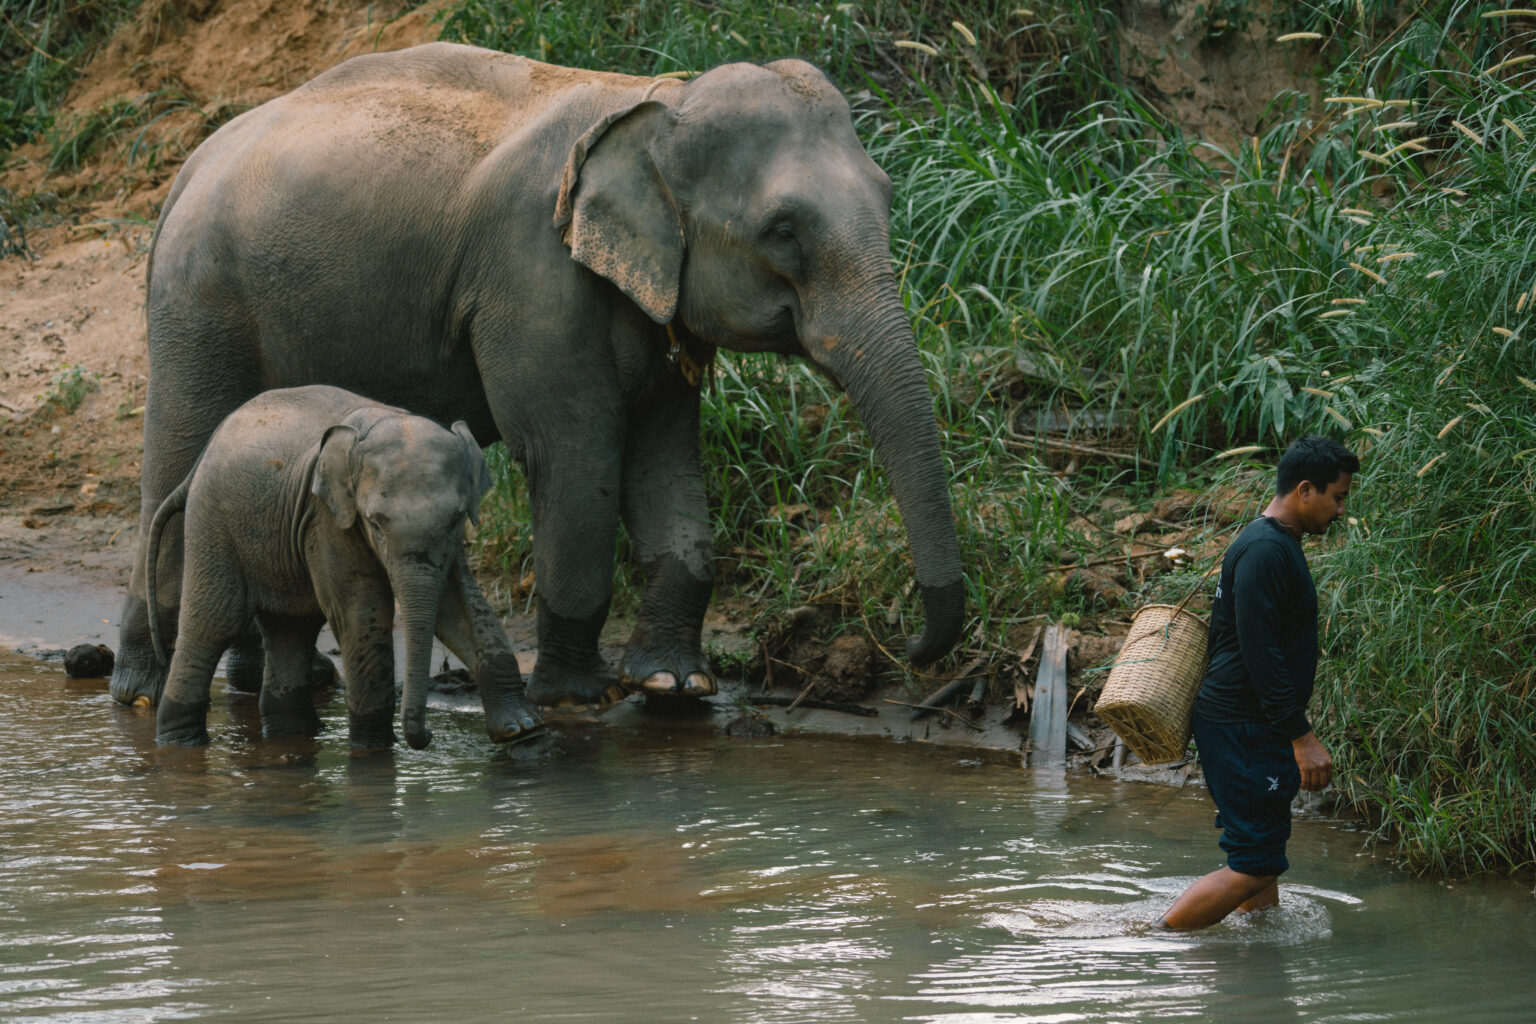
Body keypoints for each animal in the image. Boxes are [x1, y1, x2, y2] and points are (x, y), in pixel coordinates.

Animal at [110, 42, 965, 711]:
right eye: (783, 231)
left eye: (889, 198)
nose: (916, 655)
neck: (657, 100)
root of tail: (186, 170)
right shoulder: (533, 279)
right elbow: (572, 451)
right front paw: (576, 697)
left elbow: (664, 453)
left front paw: (673, 686)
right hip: (199, 307)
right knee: (177, 460)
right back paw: (143, 691)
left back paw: (276, 681)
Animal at [146, 384, 545, 750]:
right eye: (375, 522)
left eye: (456, 518)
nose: (428, 737)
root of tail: (201, 459)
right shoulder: (327, 518)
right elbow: (361, 611)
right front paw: (374, 749)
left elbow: (458, 606)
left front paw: (521, 729)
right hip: (212, 523)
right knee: (215, 622)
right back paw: (181, 744)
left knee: (291, 628)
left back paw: (294, 734)